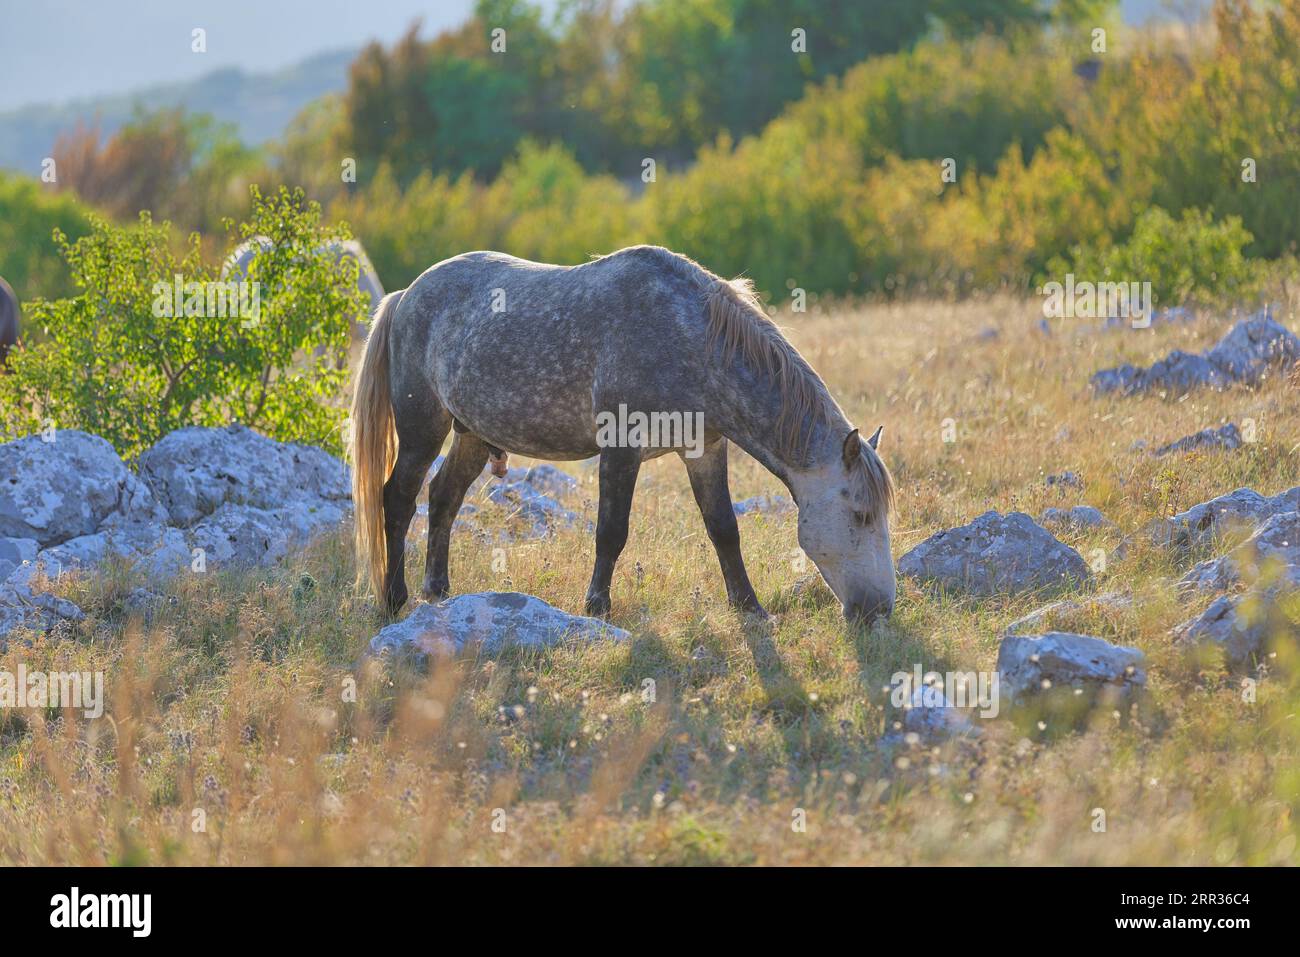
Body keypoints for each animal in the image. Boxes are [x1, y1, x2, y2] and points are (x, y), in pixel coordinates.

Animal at [349, 245, 895, 624]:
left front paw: (749, 607)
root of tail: (405, 296)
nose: (880, 608)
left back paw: (437, 590)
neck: (689, 339)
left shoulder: (705, 449)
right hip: (422, 431)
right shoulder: (621, 449)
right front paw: (597, 606)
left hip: (472, 436)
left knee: (443, 498)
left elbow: (723, 528)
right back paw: (393, 599)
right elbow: (611, 531)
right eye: (861, 514)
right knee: (397, 500)